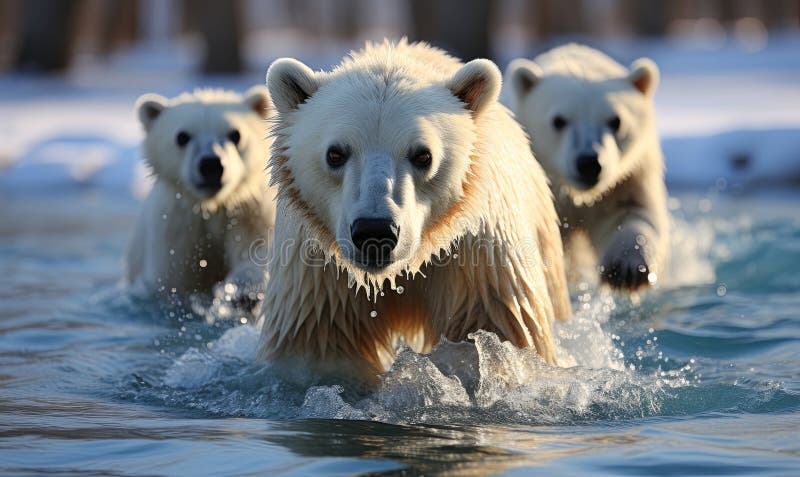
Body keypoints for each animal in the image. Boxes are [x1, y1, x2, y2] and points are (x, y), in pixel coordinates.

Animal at [126, 87, 277, 306]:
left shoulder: (249, 212)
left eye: (235, 134)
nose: (211, 165)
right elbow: (175, 281)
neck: (211, 207)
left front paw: (244, 292)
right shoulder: (177, 230)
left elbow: (257, 249)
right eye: (182, 137)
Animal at [257, 39, 572, 382]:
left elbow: (492, 336)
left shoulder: (479, 258)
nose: (375, 232)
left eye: (423, 155)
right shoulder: (320, 272)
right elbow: (320, 348)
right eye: (335, 153)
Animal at [502, 44, 669, 292]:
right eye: (558, 120)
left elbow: (633, 211)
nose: (589, 163)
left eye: (616, 120)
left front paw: (626, 270)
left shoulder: (628, 177)